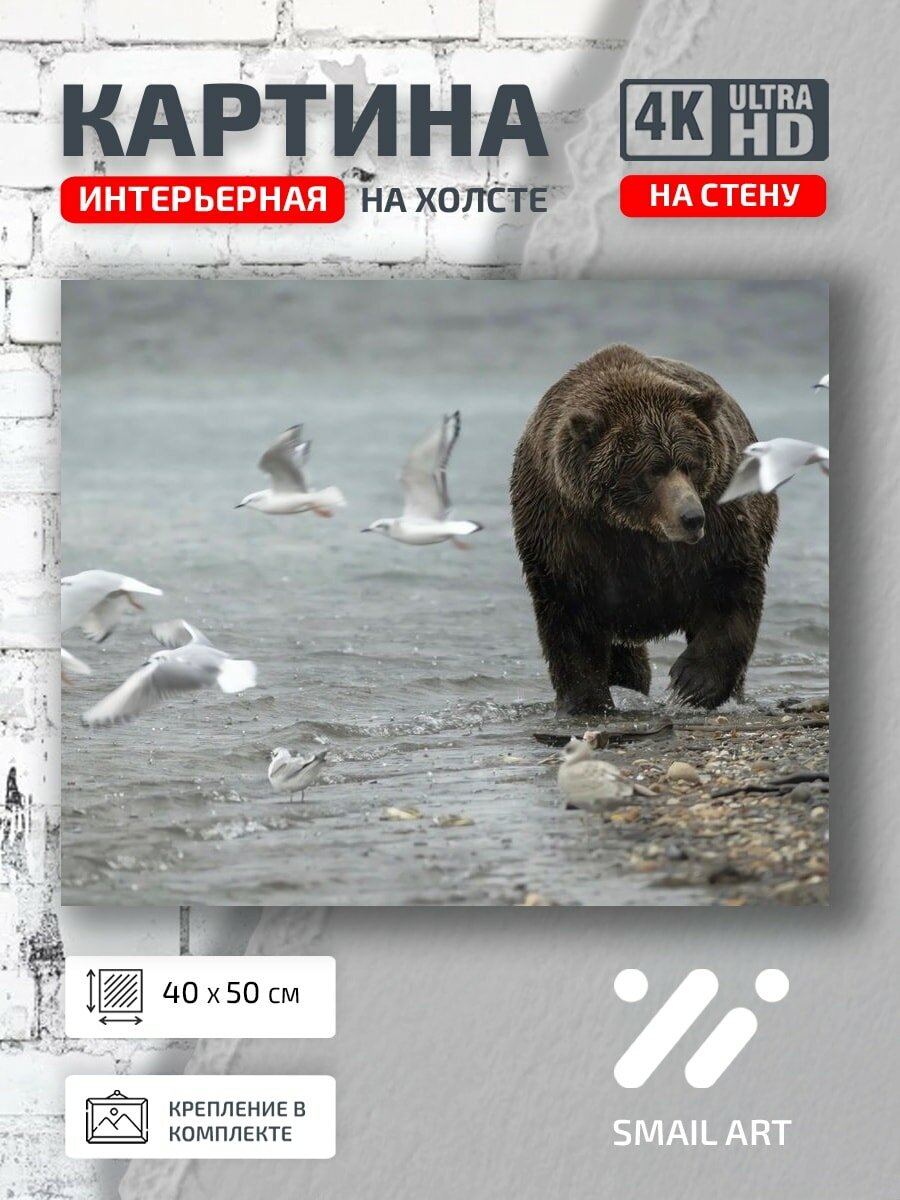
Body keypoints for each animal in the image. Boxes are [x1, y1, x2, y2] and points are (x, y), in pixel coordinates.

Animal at [509, 343, 778, 715]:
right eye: (653, 469)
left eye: (692, 464)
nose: (691, 517)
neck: (635, 529)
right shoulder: (566, 532)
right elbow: (569, 619)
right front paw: (586, 701)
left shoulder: (719, 527)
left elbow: (731, 590)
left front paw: (690, 684)